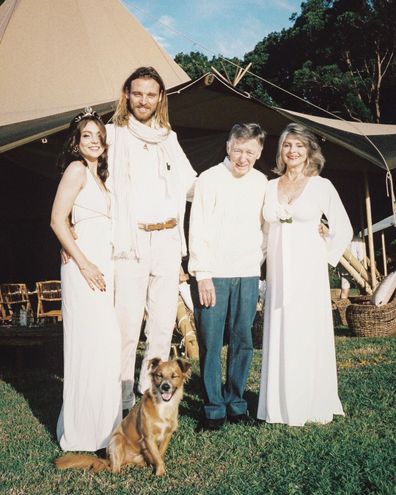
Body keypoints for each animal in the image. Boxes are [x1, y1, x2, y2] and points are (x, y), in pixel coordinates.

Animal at [55, 358, 192, 478]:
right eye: (159, 375)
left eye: (174, 376)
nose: (165, 387)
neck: (163, 406)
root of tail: (108, 460)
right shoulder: (148, 437)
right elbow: (157, 456)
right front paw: (160, 473)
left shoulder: (167, 435)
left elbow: (160, 454)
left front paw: (160, 469)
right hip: (117, 440)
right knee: (113, 469)